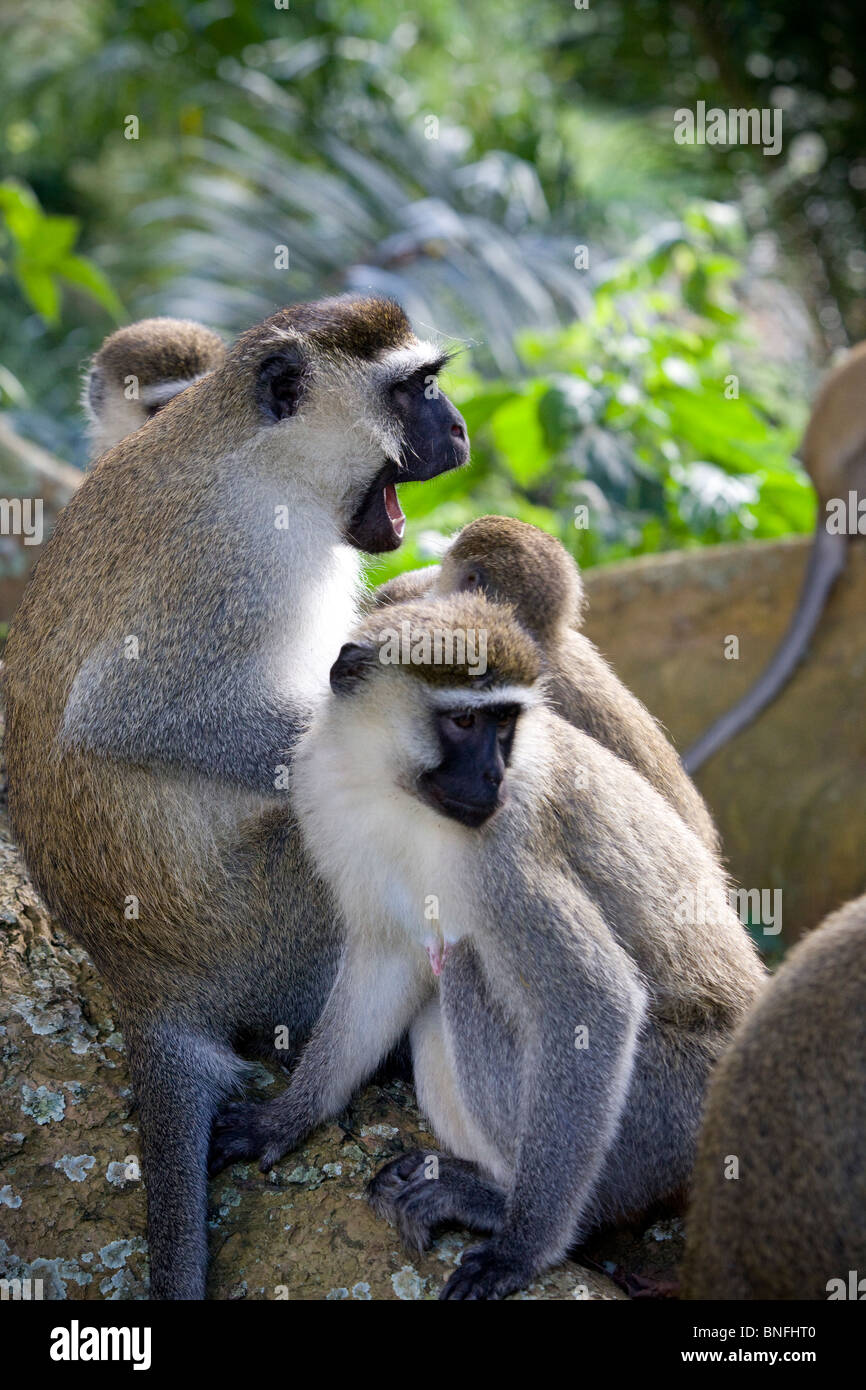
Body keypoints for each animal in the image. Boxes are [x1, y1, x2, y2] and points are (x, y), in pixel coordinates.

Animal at [209, 593, 765, 1300]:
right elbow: (389, 959)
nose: (493, 774)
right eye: (466, 720)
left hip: (663, 1118)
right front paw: (287, 1117)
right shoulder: (322, 793)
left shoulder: (506, 848)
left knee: (469, 965)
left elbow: (593, 1003)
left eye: (505, 723)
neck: (396, 792)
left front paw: (521, 1247)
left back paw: (508, 1205)